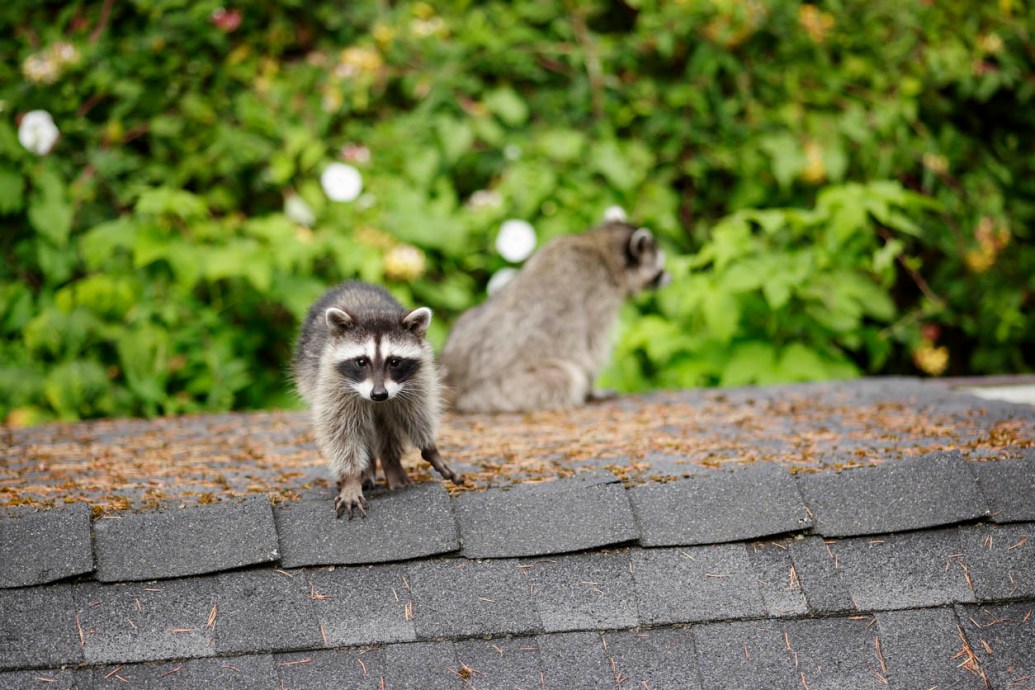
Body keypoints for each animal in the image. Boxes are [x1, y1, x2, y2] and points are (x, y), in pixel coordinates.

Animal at [292, 281, 460, 518]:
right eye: (361, 361)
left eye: (395, 361)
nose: (379, 394)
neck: (373, 311)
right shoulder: (332, 383)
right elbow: (340, 432)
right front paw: (351, 479)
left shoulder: (417, 379)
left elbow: (416, 413)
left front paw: (430, 448)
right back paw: (367, 470)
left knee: (386, 427)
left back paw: (391, 464)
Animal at [441, 220, 669, 413]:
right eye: (659, 268)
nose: (669, 277)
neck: (599, 244)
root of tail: (456, 382)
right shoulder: (598, 298)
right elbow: (591, 349)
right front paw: (593, 390)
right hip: (502, 389)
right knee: (565, 377)